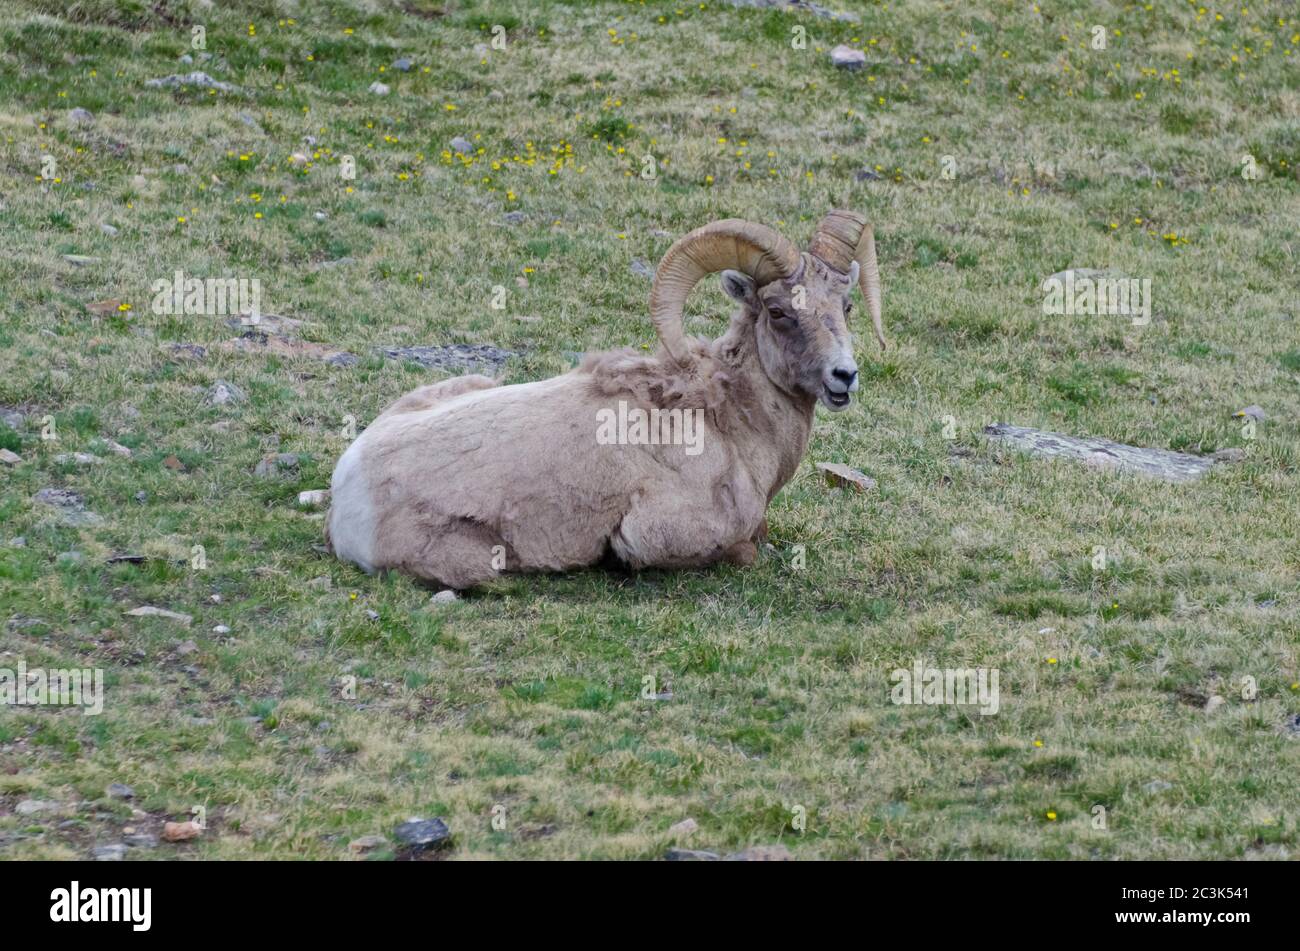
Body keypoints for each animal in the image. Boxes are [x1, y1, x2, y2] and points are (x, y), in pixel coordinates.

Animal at [325, 210, 886, 589]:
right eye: (778, 311)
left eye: (845, 305)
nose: (844, 377)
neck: (729, 425)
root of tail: (348, 485)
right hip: (480, 564)